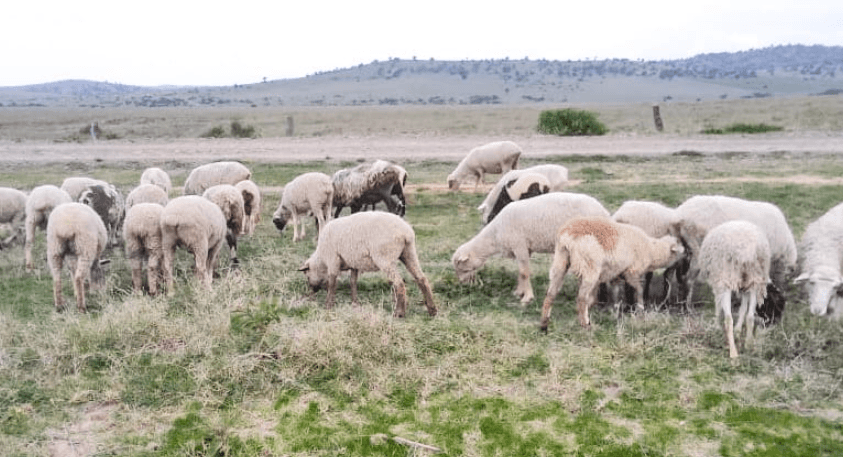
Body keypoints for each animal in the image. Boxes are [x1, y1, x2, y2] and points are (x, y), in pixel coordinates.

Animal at [299, 211, 437, 318]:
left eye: (307, 275)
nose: (312, 291)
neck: (321, 259)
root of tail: (405, 232)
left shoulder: (333, 259)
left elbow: (332, 283)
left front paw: (328, 305)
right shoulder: (354, 263)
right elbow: (353, 282)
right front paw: (355, 302)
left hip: (384, 258)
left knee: (399, 283)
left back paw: (399, 313)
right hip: (409, 252)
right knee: (421, 279)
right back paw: (432, 310)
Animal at [452, 192, 610, 306]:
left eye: (461, 267)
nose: (462, 283)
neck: (495, 235)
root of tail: (604, 212)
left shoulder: (519, 244)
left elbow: (524, 273)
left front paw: (527, 297)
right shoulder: (523, 248)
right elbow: (521, 272)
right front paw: (519, 292)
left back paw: (590, 299)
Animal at [539, 216, 685, 331]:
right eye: (679, 246)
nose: (687, 253)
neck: (651, 250)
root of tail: (567, 236)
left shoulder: (616, 274)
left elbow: (614, 294)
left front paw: (615, 312)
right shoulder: (632, 272)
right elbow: (639, 290)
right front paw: (640, 309)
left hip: (560, 260)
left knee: (551, 293)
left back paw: (544, 324)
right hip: (590, 266)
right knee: (581, 297)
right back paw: (586, 325)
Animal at [697, 220, 771, 358]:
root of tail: (746, 251)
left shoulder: (719, 280)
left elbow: (718, 305)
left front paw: (716, 325)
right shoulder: (744, 285)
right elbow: (743, 309)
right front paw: (738, 331)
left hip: (727, 275)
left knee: (728, 318)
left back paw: (733, 353)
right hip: (754, 278)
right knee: (750, 316)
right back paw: (748, 345)